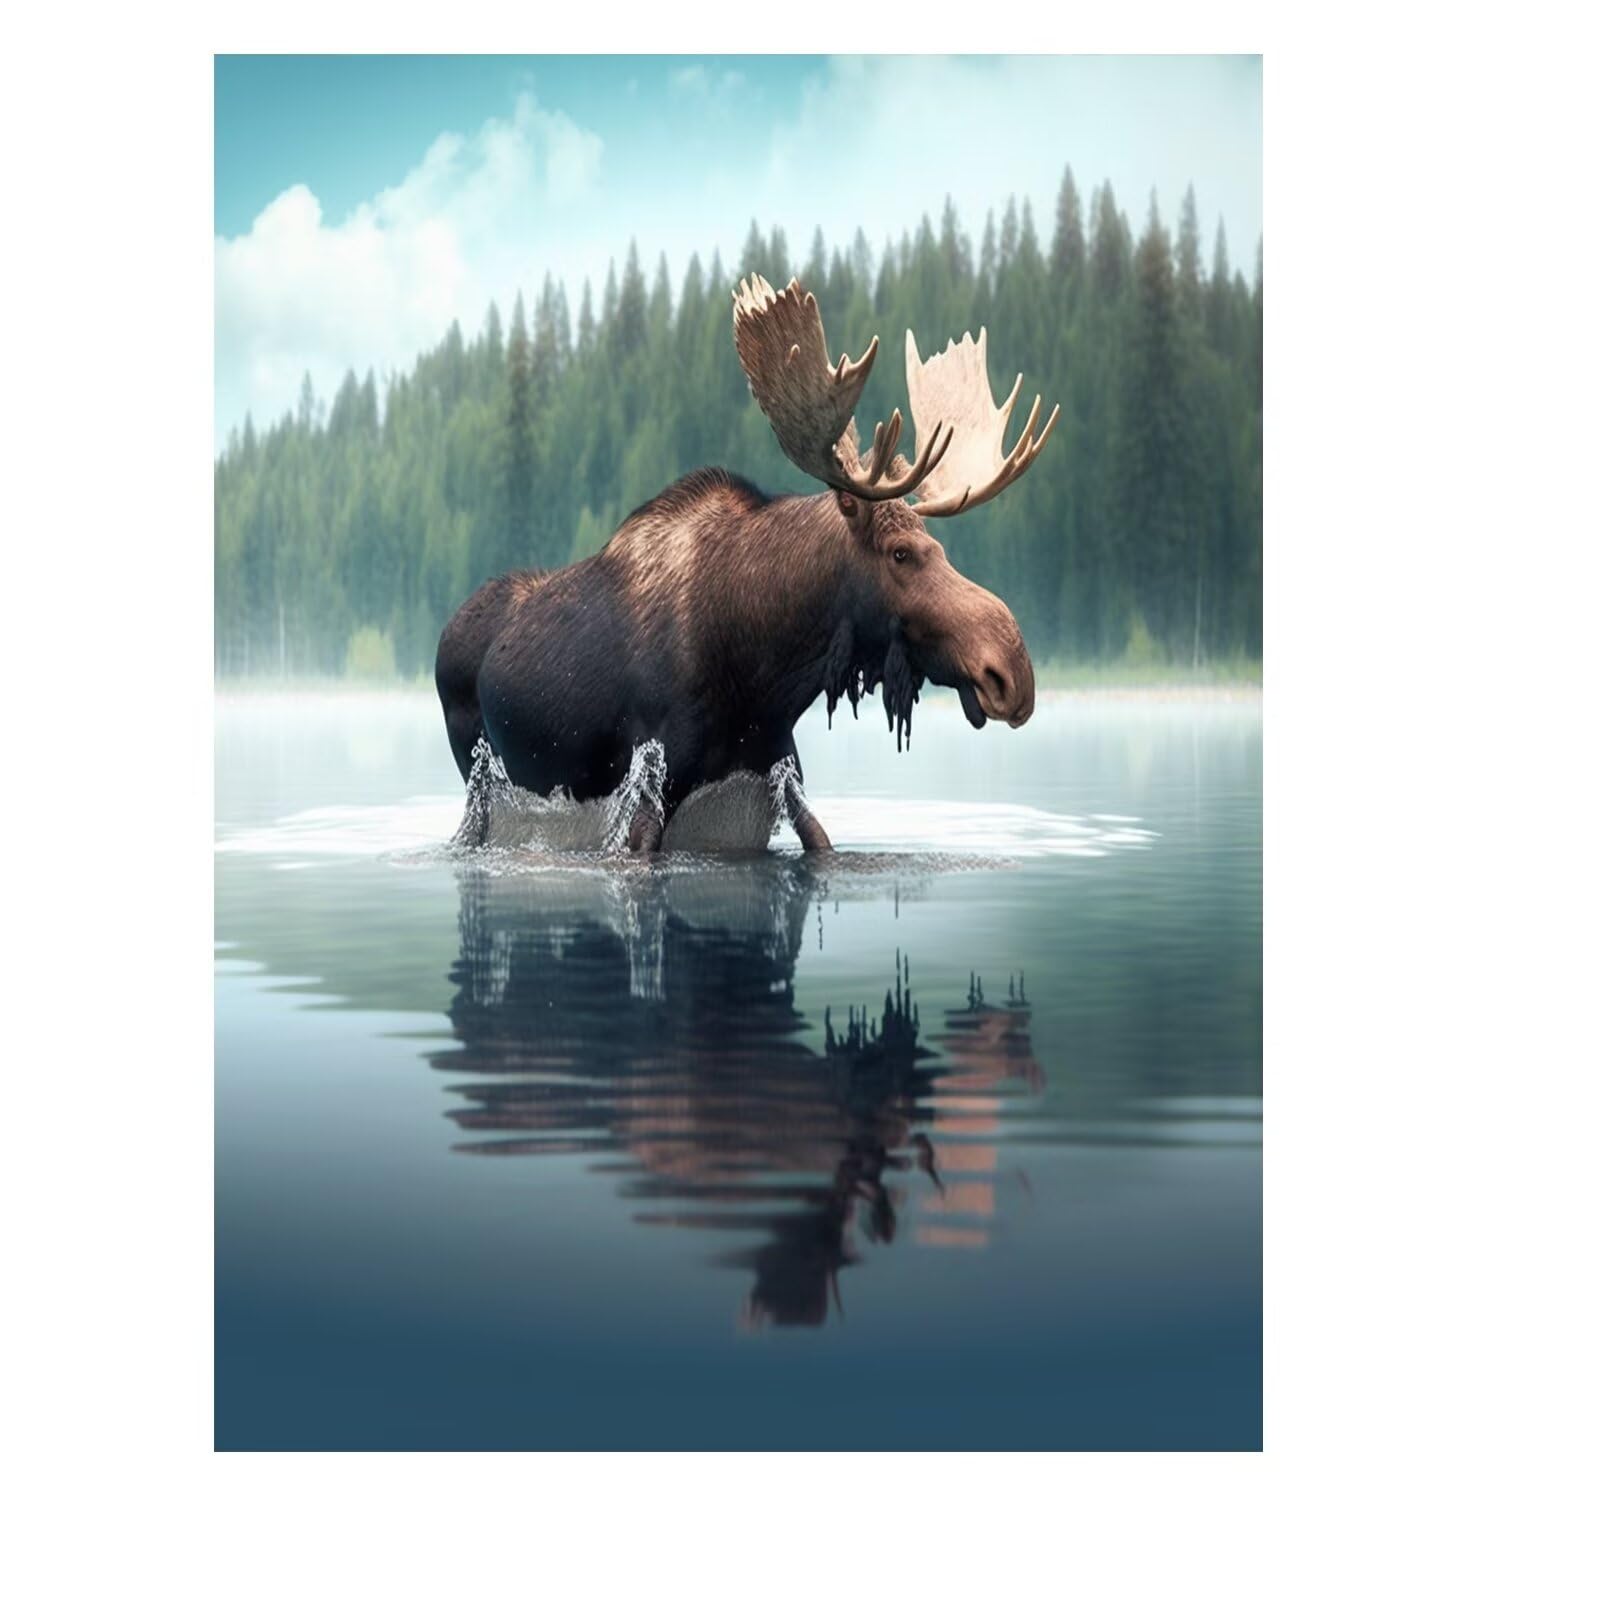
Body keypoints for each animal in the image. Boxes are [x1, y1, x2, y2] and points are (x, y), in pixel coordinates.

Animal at [435, 274, 1060, 851]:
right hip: (478, 774)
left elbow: (822, 840)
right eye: (900, 553)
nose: (1013, 671)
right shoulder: (655, 772)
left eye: (939, 548)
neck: (762, 666)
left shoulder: (778, 764)